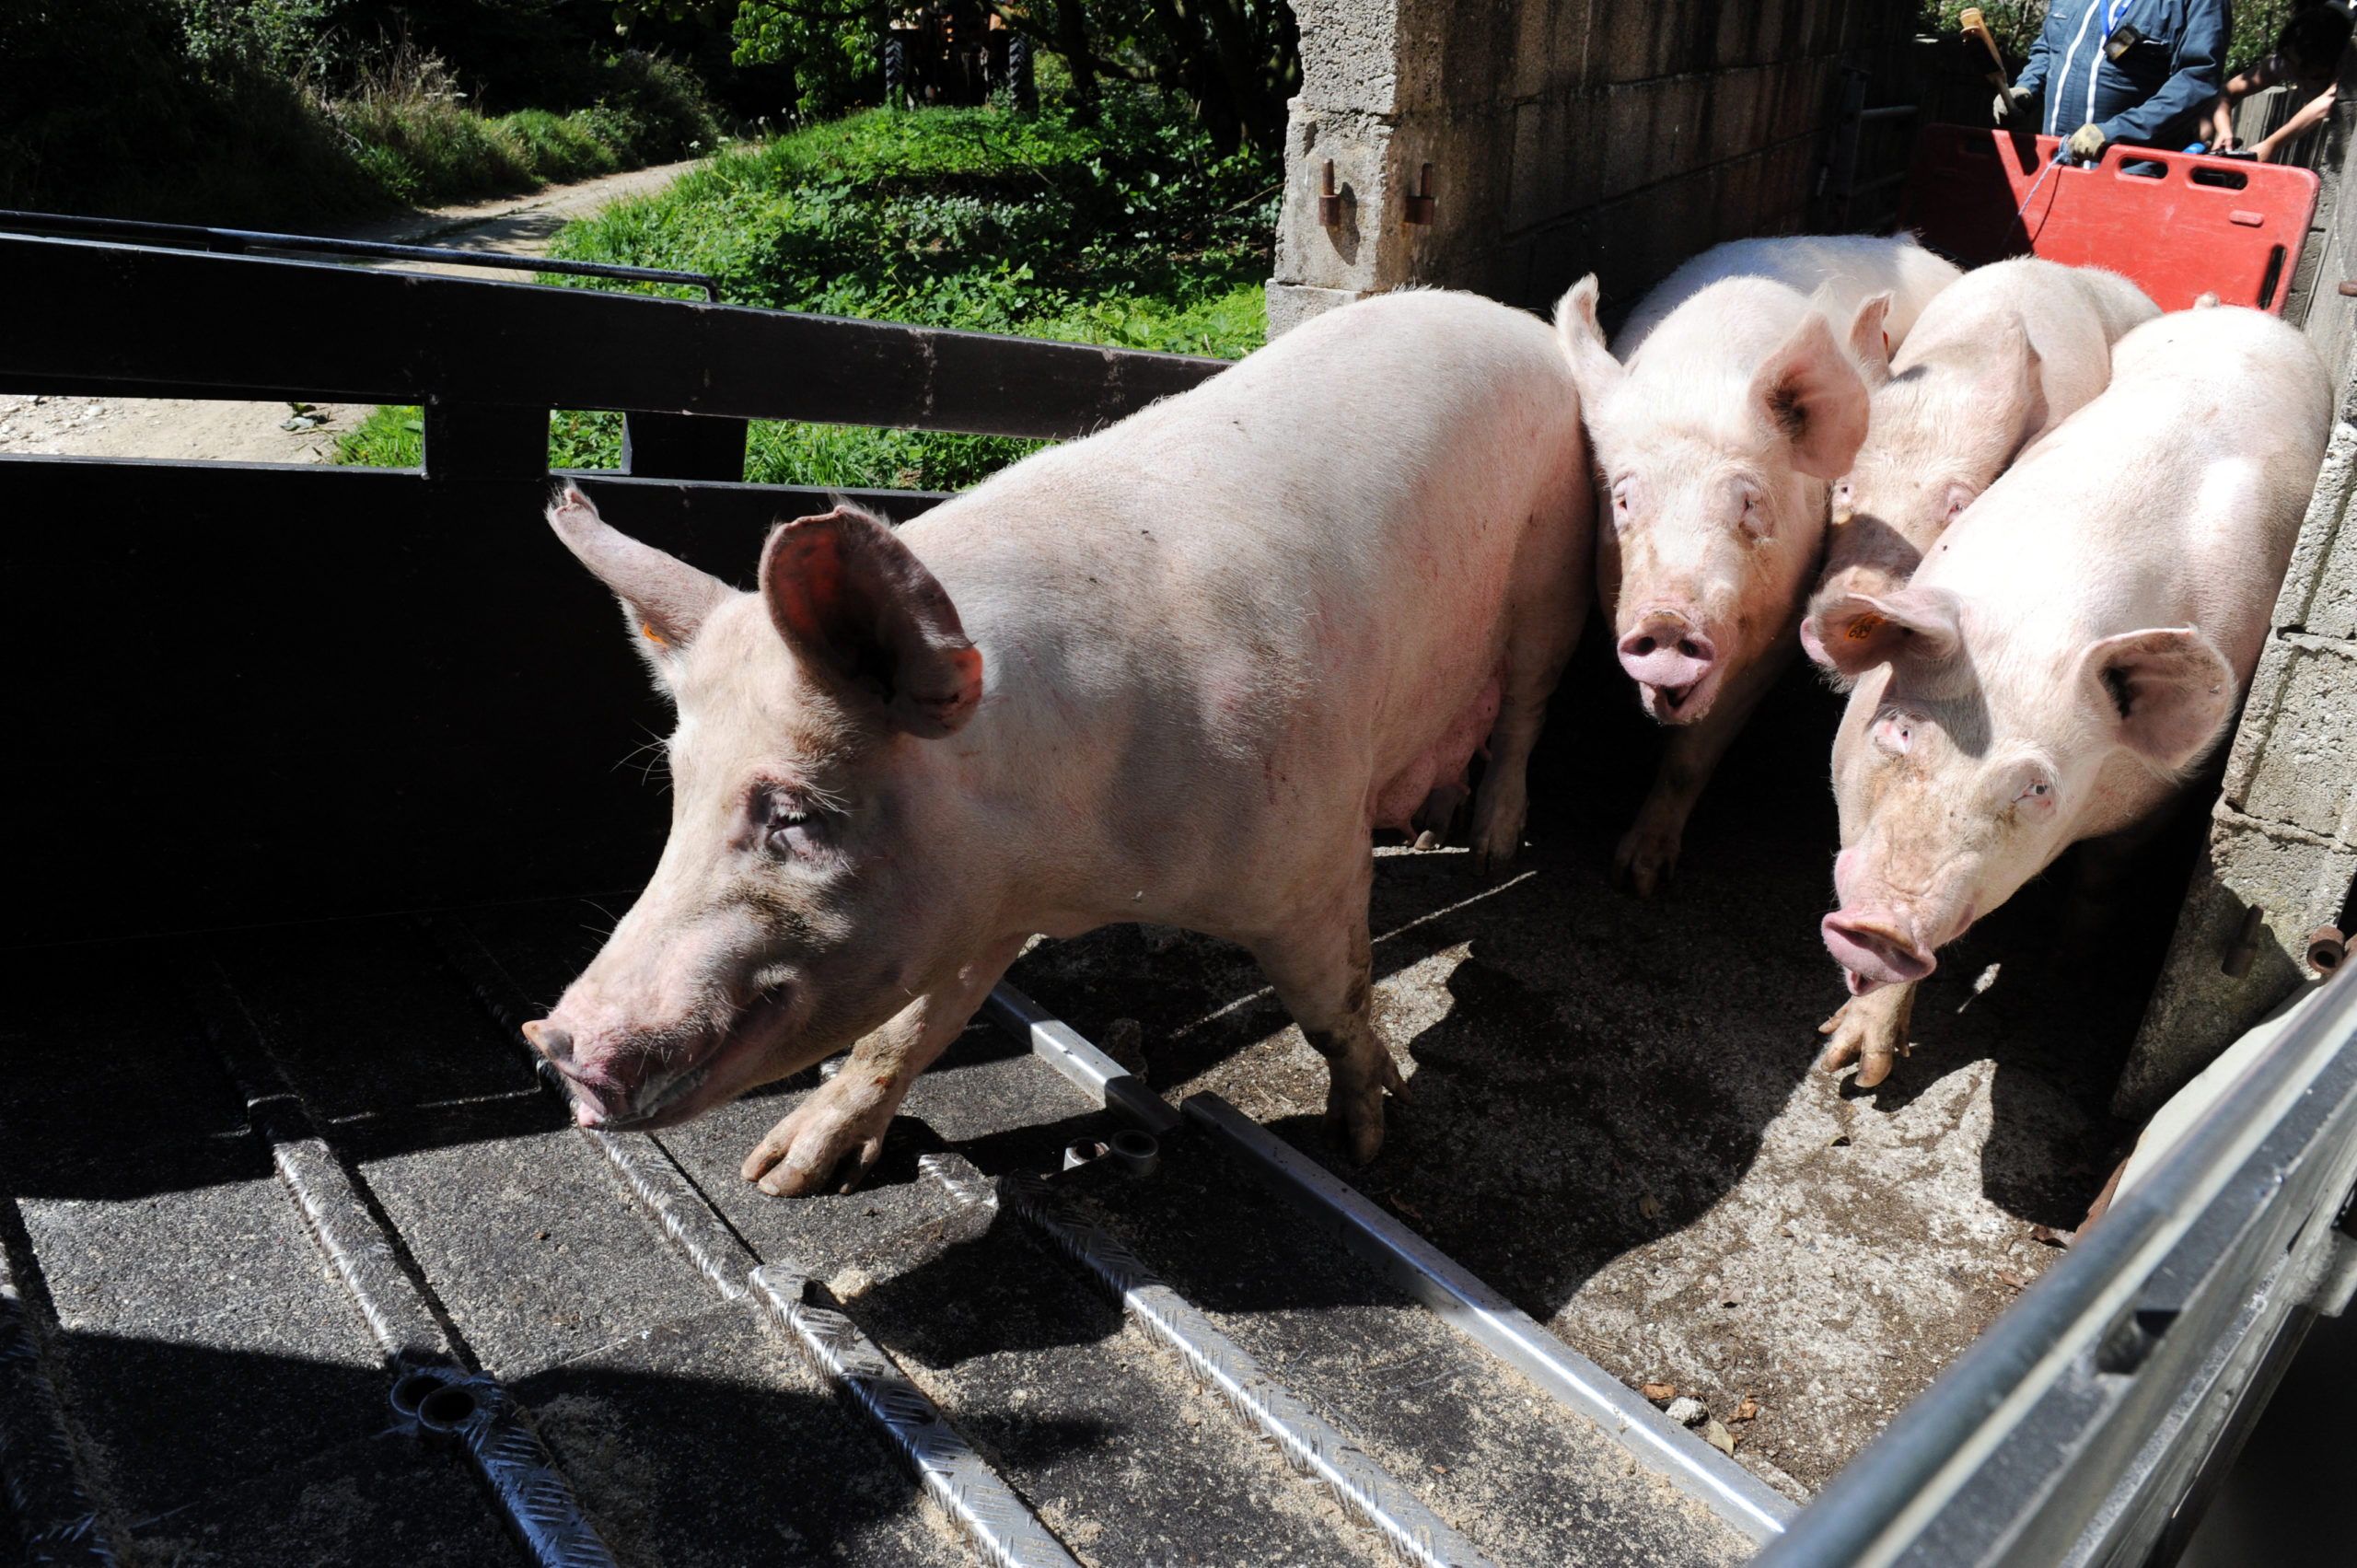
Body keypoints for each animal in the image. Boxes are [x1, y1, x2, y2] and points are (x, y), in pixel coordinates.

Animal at [520, 289, 1594, 1193]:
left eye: (794, 812)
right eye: (676, 785)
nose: (556, 1040)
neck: (1074, 867)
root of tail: (1512, 314)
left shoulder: (1313, 860)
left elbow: (1337, 1008)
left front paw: (1365, 1141)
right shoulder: (969, 900)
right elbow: (902, 1030)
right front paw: (780, 1175)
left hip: (1555, 567)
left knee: (1529, 706)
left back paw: (1488, 848)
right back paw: (1431, 826)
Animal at [1555, 235, 1964, 893]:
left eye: (1748, 503)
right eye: (1623, 499)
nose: (1666, 621)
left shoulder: (1776, 636)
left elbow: (1692, 757)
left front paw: (1643, 878)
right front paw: (1628, 876)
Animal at [1809, 305, 2329, 1086]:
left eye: (2038, 788)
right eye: (1899, 729)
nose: (1880, 927)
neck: (2038, 620)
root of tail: (2254, 317)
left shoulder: (2155, 800)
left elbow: (2101, 881)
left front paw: (2063, 977)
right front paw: (1847, 1070)